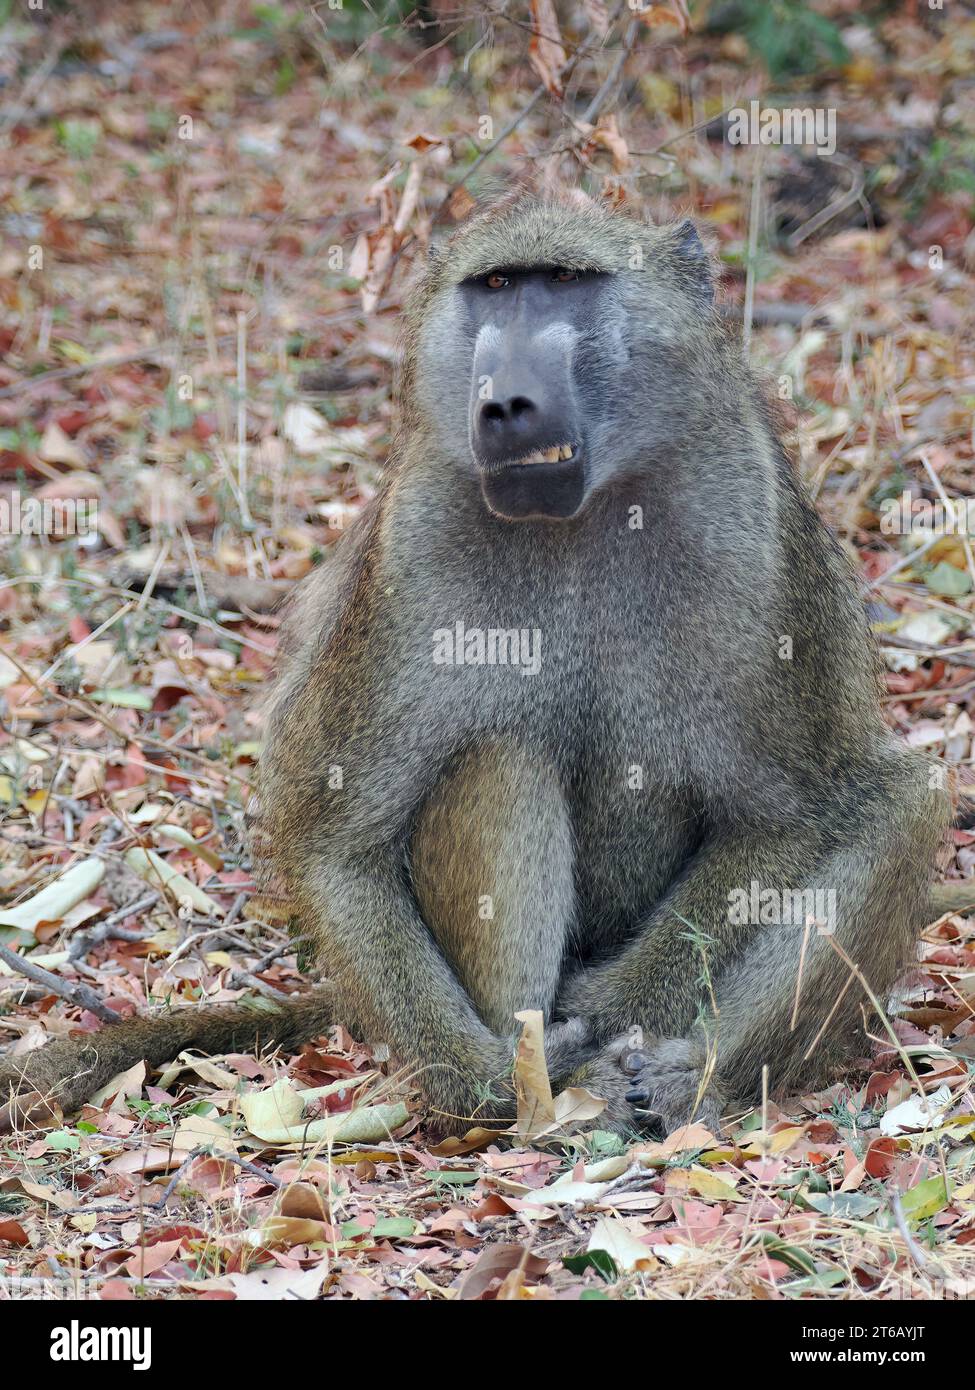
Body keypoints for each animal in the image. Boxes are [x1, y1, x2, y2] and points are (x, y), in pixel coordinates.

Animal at [0, 187, 954, 1139]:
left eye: (564, 284)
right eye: (495, 288)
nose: (508, 402)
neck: (583, 517)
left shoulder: (747, 532)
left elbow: (784, 817)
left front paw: (619, 1017)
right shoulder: (413, 549)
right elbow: (338, 841)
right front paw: (481, 1080)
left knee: (901, 802)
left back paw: (696, 1079)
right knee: (502, 756)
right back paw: (536, 1082)